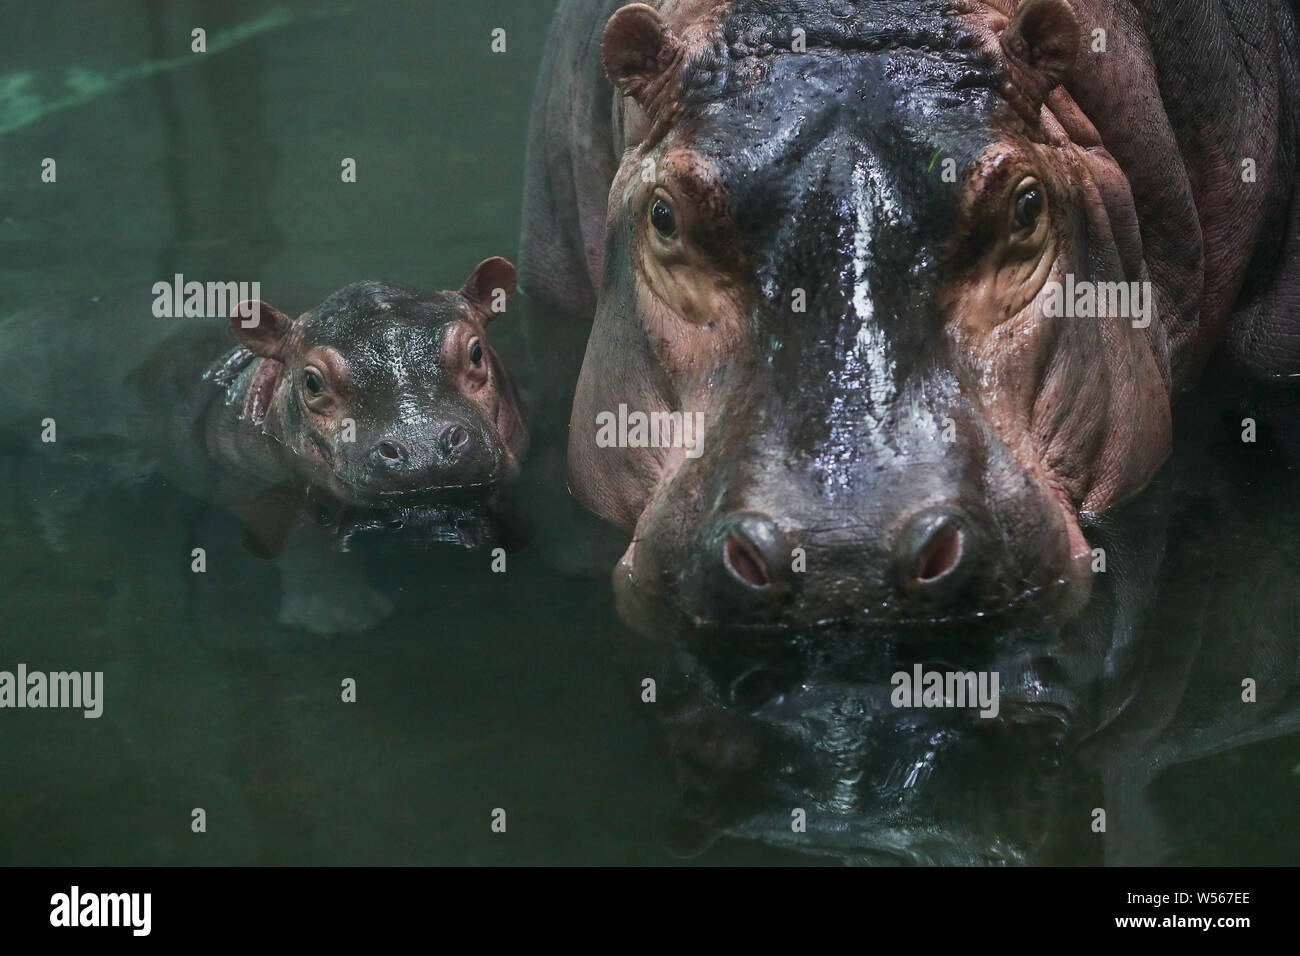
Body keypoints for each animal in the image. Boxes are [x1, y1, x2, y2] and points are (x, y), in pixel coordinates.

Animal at [0, 258, 528, 633]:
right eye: (312, 381)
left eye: (476, 351)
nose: (420, 447)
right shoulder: (256, 491)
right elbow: (300, 544)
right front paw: (340, 617)